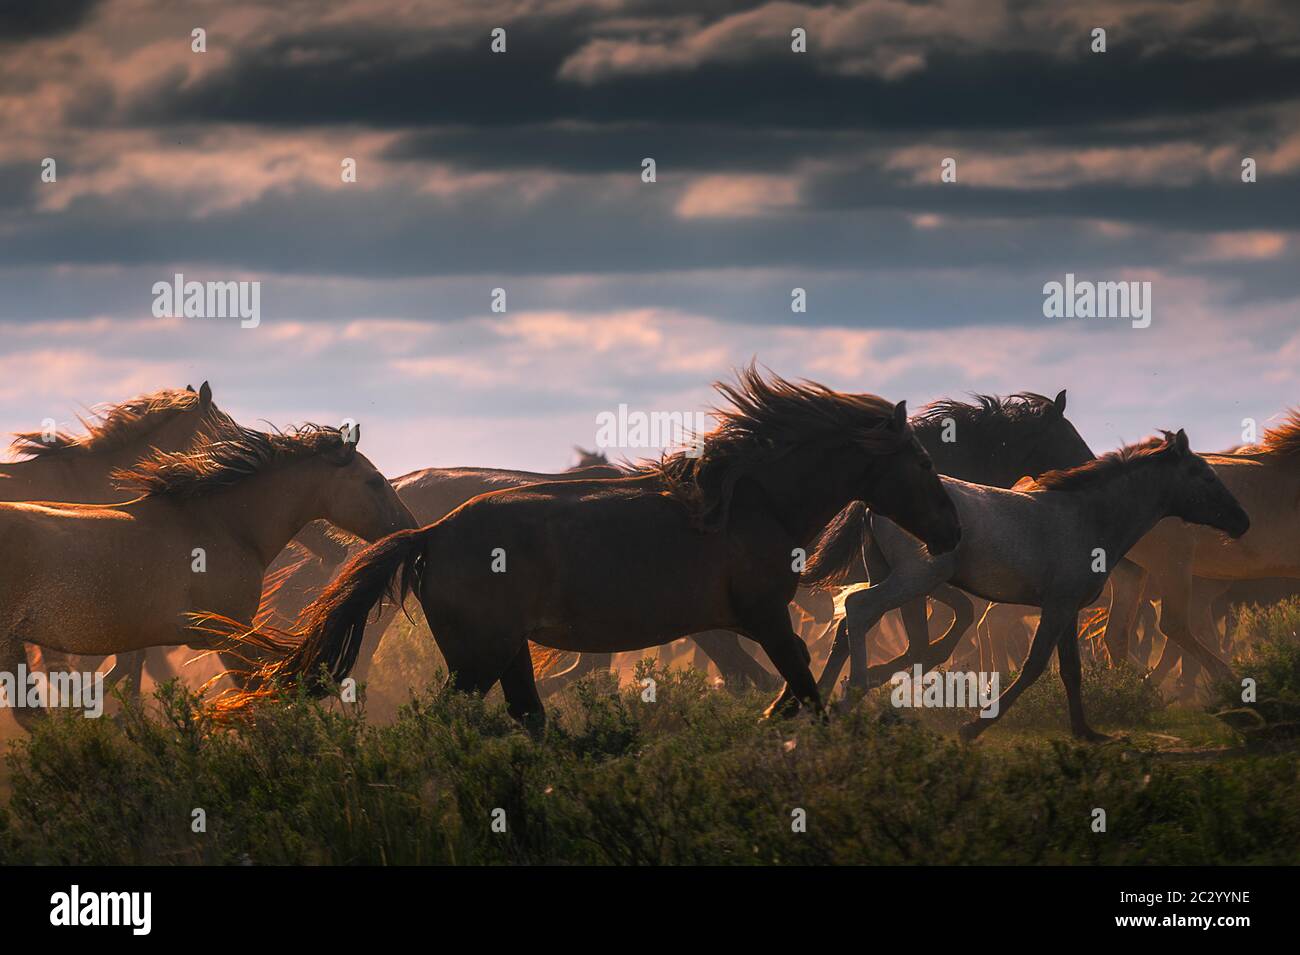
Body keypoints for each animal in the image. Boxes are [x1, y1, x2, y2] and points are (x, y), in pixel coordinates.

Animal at [0, 423, 415, 726]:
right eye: (375, 480)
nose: (409, 528)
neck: (221, 525)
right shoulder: (227, 634)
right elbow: (257, 697)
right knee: (31, 716)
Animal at [207, 367, 962, 723]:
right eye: (925, 461)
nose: (953, 529)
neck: (751, 503)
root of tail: (431, 533)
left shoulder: (743, 626)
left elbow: (785, 686)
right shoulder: (761, 617)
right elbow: (798, 687)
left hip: (502, 651)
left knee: (528, 717)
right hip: (478, 656)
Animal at [805, 431, 1250, 740]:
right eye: (1205, 475)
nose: (1242, 521)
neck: (1087, 518)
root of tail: (873, 502)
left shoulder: (1068, 609)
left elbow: (1070, 670)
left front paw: (1086, 732)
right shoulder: (1055, 606)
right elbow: (1034, 665)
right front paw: (974, 727)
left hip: (891, 575)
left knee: (851, 628)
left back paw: (815, 704)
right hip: (915, 577)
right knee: (860, 610)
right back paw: (851, 694)